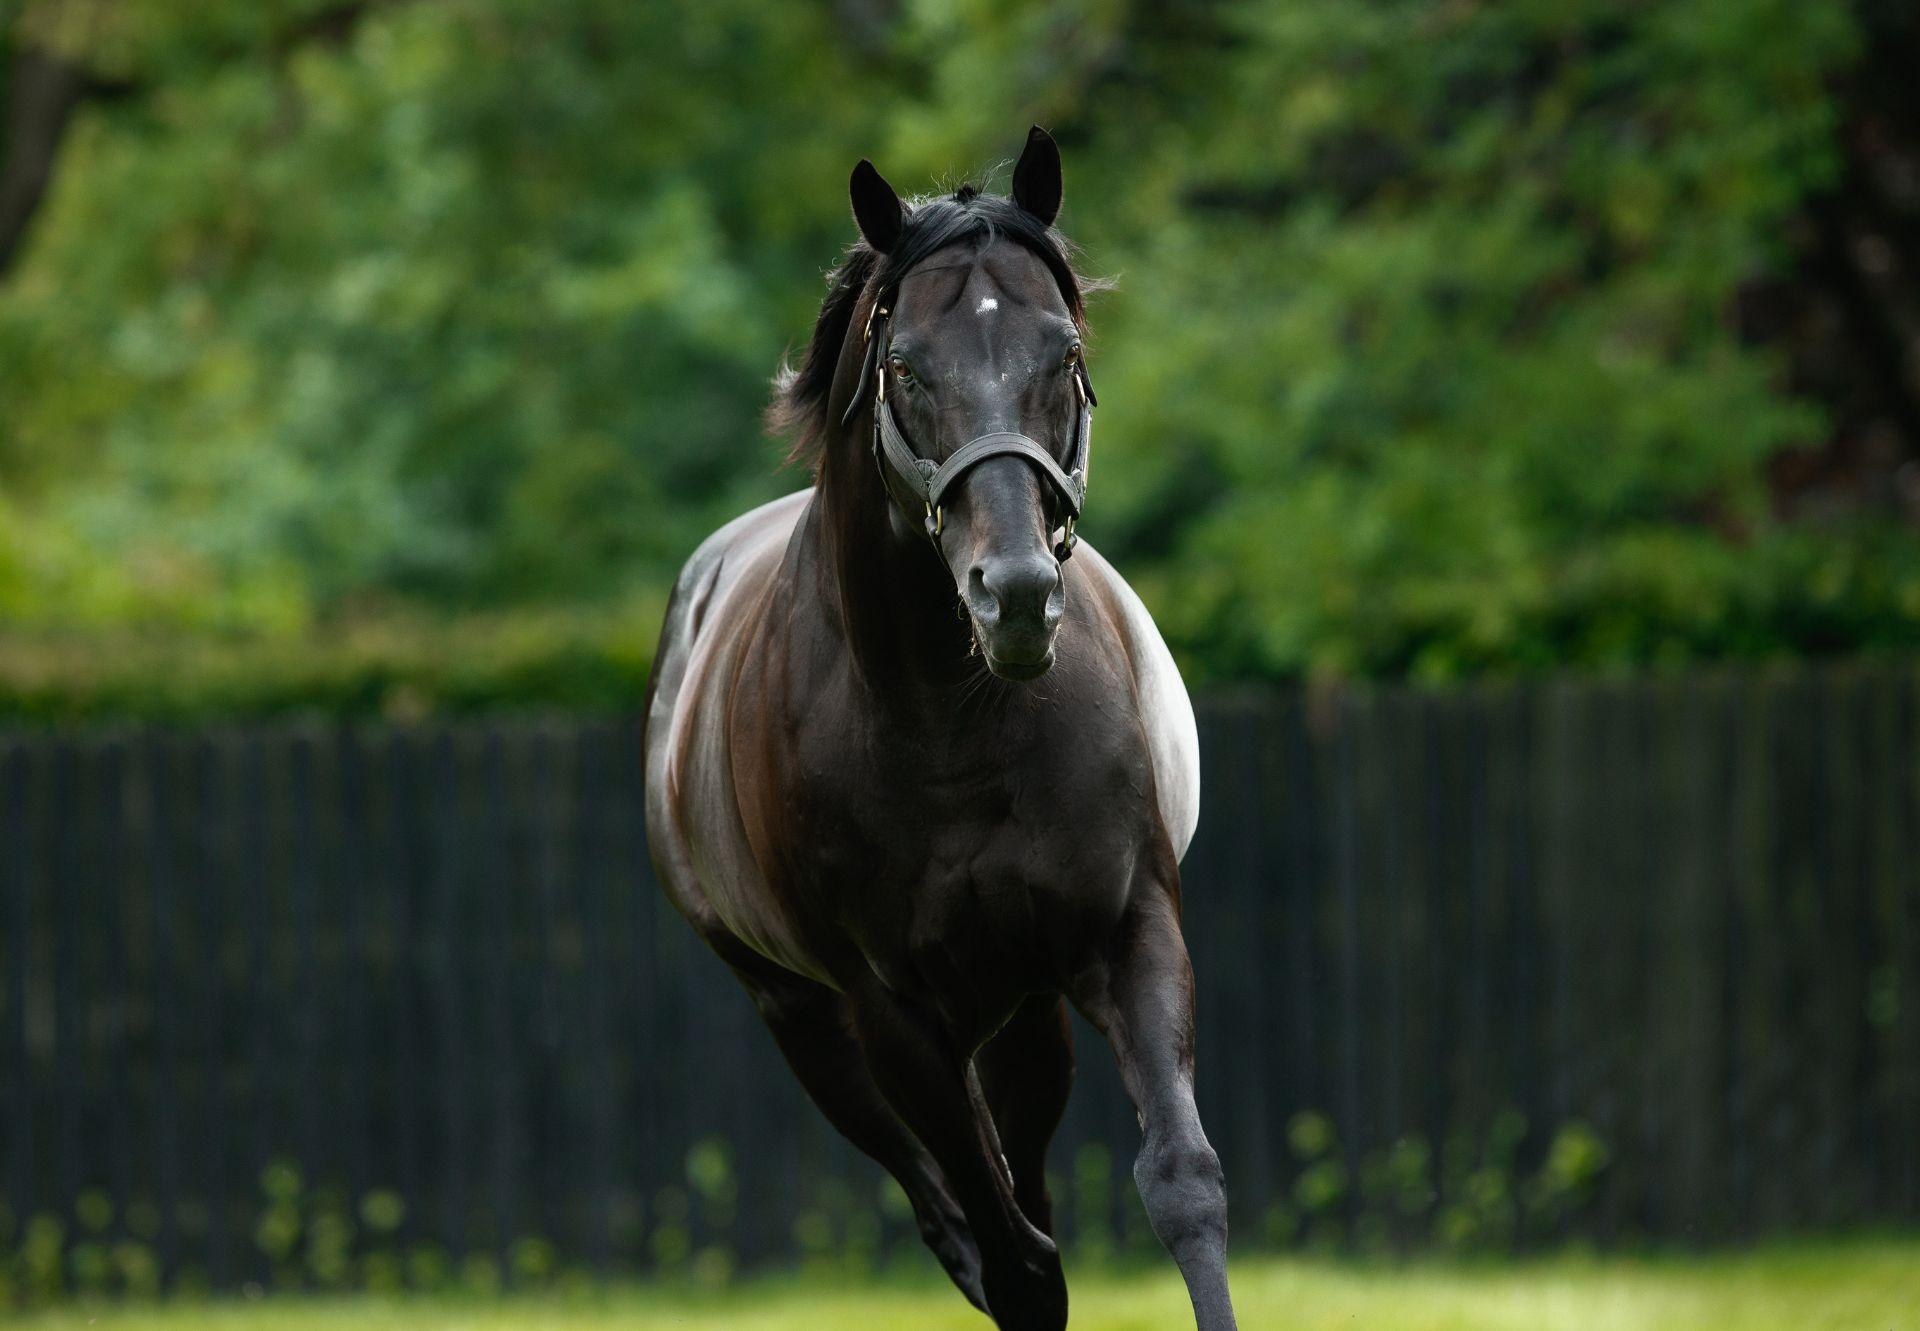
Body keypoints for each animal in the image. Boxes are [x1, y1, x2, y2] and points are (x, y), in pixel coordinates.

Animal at [643, 127, 1238, 1331]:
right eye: (909, 367)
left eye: (1064, 353)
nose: (1013, 594)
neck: (954, 730)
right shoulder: (894, 1013)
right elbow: (1012, 1252)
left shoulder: (1127, 932)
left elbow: (1181, 1181)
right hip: (805, 1018)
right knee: (947, 1198)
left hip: (1025, 1008)